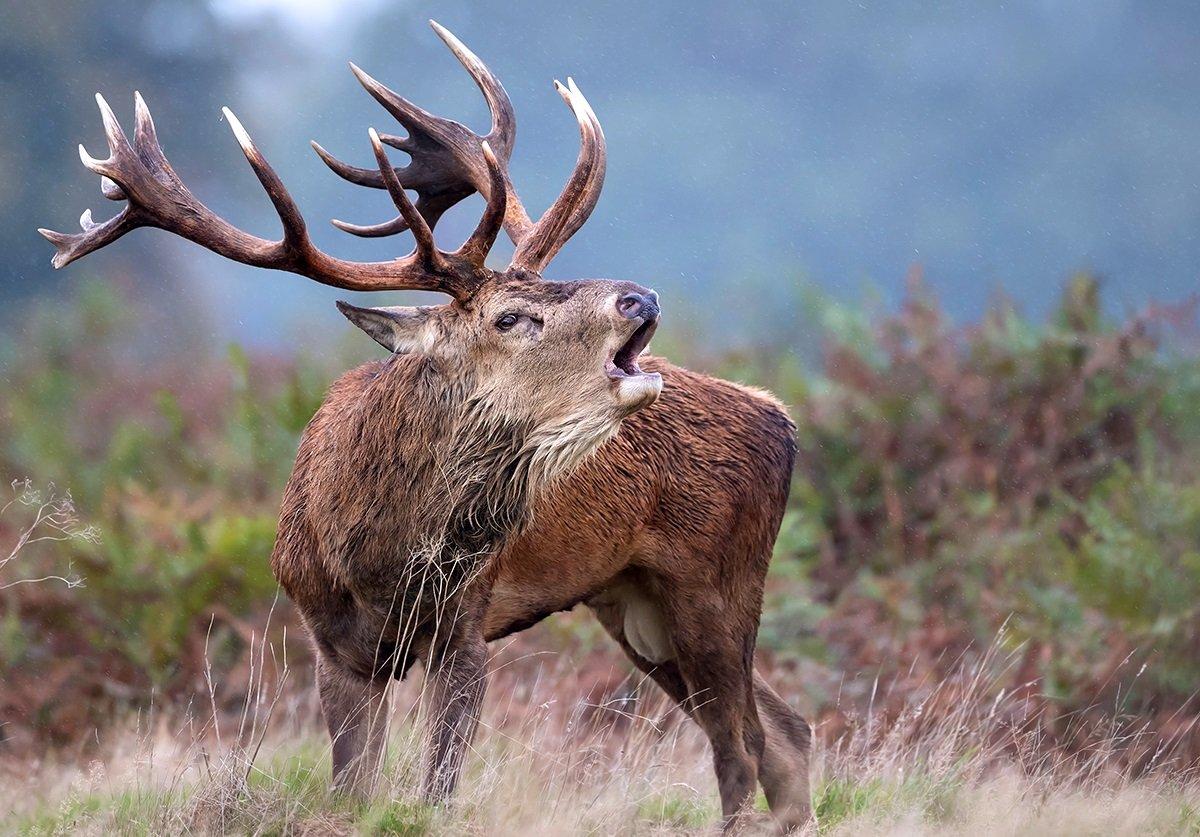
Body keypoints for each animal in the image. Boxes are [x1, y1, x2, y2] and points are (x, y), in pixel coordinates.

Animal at [42, 22, 816, 829]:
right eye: (511, 316)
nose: (641, 296)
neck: (376, 552)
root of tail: (781, 416)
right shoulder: (332, 640)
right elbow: (352, 790)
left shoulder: (466, 628)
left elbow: (436, 791)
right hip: (634, 601)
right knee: (782, 734)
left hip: (716, 579)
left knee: (743, 744)